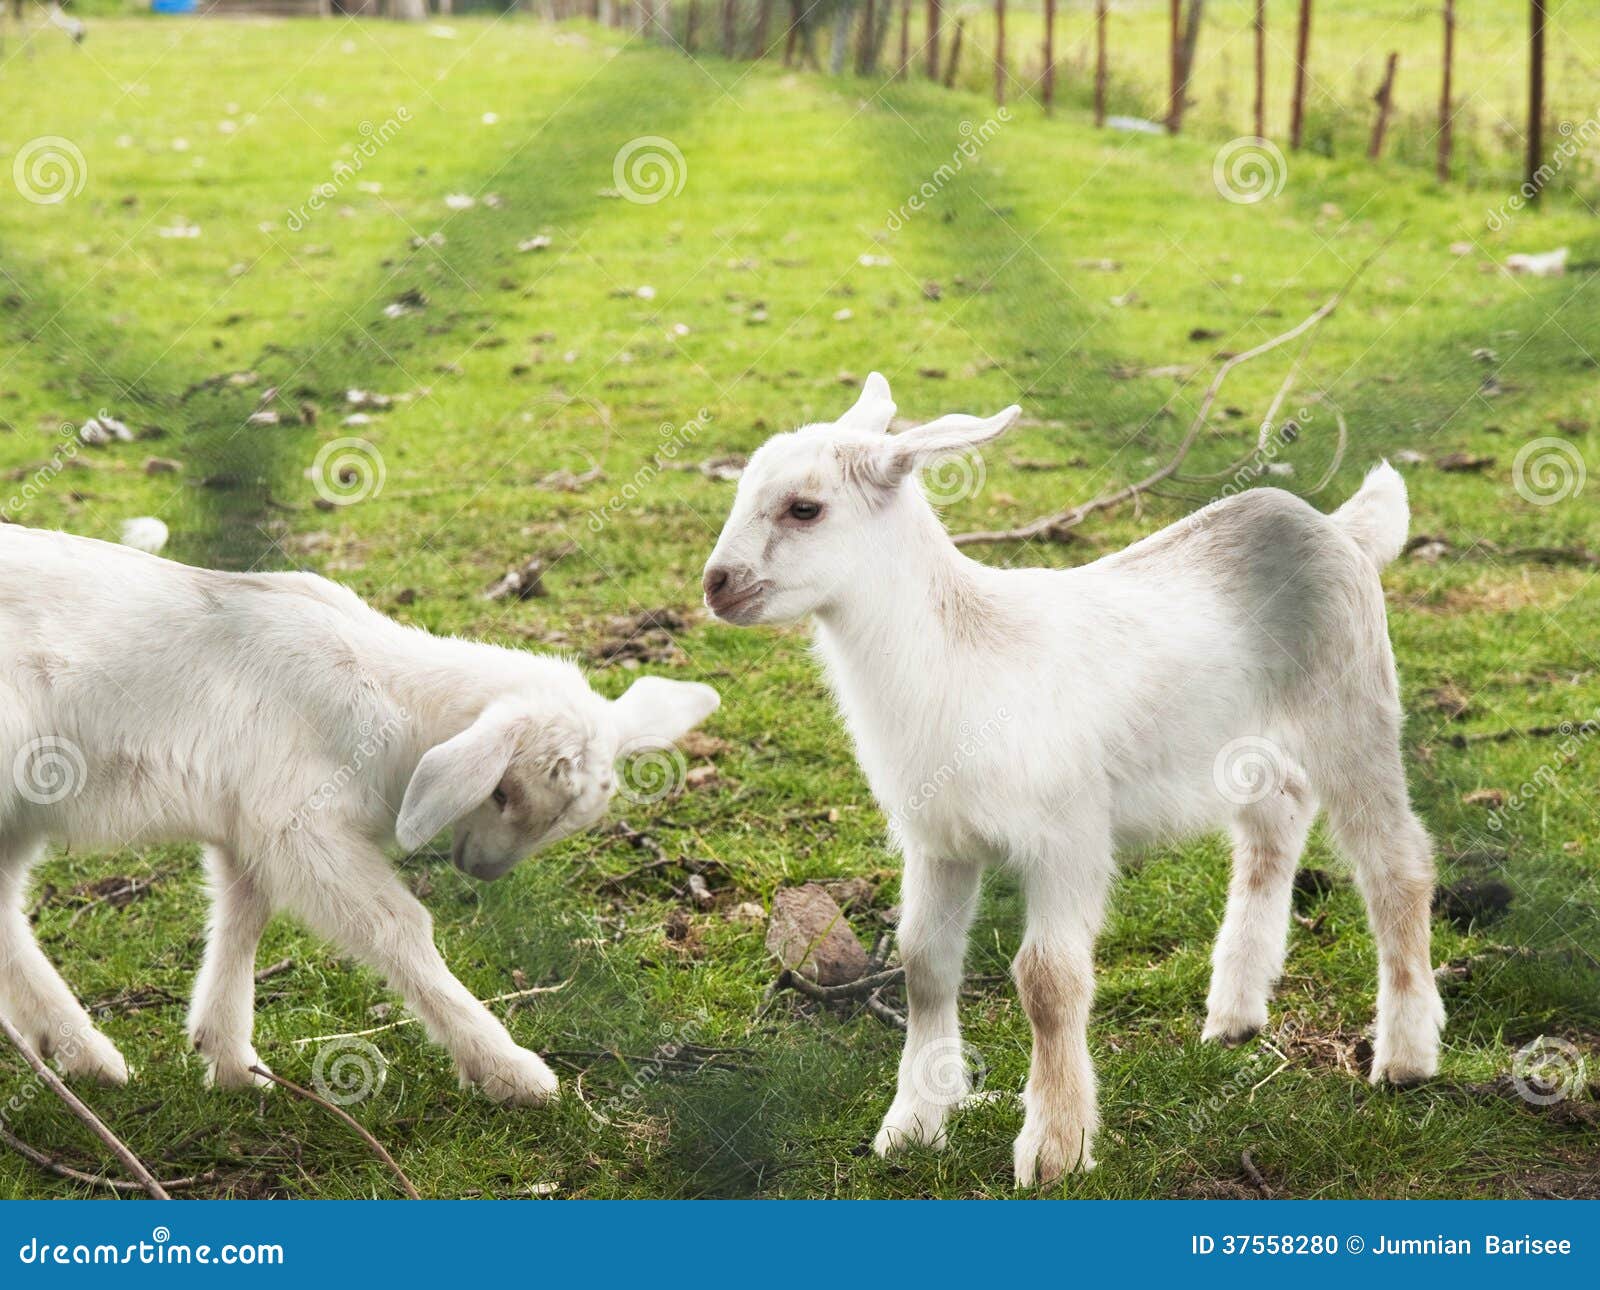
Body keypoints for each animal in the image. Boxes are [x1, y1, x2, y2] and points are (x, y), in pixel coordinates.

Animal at [0, 525, 718, 1102]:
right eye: (502, 794)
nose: (483, 871)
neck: (392, 699)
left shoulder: (252, 823)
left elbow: (244, 916)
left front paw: (228, 1058)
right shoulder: (300, 822)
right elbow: (399, 926)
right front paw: (511, 1072)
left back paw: (80, 1055)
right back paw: (86, 1052)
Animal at [702, 373, 1444, 1186]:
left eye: (805, 508)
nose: (717, 584)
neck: (959, 652)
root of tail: (1339, 528)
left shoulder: (1068, 834)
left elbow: (1048, 981)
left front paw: (1055, 1148)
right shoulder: (938, 839)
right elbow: (924, 962)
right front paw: (913, 1126)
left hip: (1353, 706)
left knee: (1397, 862)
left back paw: (1406, 1057)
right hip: (1249, 747)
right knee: (1273, 830)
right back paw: (1234, 1015)